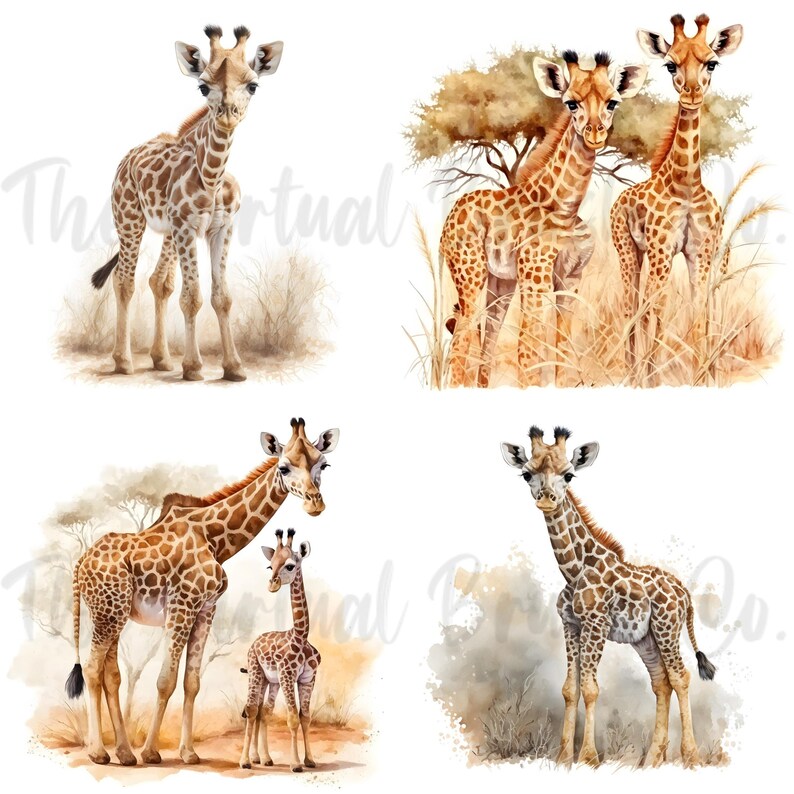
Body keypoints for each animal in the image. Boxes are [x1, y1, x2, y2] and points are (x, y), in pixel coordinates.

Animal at [90, 25, 284, 381]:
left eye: (252, 85)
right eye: (203, 86)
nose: (227, 114)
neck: (213, 176)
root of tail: (127, 159)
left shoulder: (221, 228)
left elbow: (222, 298)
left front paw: (234, 367)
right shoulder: (186, 227)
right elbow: (192, 296)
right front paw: (193, 367)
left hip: (167, 232)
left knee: (158, 281)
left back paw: (161, 359)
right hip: (130, 220)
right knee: (124, 280)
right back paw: (124, 362)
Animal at [239, 529, 321, 772]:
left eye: (291, 565)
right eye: (270, 565)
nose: (272, 585)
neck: (300, 636)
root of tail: (254, 642)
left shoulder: (308, 678)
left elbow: (305, 718)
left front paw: (310, 760)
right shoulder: (287, 675)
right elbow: (292, 718)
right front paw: (295, 764)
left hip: (270, 680)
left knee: (262, 711)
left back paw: (263, 758)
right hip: (256, 672)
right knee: (251, 709)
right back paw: (245, 761)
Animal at [440, 52, 647, 388]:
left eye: (612, 102)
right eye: (571, 102)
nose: (595, 133)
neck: (564, 206)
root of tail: (450, 219)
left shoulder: (570, 280)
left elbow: (560, 348)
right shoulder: (535, 275)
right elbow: (529, 348)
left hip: (500, 282)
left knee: (487, 337)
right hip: (470, 272)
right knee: (463, 338)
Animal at [501, 426, 716, 767]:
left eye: (569, 474)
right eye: (526, 474)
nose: (546, 500)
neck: (574, 570)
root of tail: (684, 592)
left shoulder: (596, 625)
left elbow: (590, 688)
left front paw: (588, 758)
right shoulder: (571, 626)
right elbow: (570, 689)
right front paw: (563, 756)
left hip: (667, 629)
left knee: (680, 676)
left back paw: (690, 756)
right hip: (646, 638)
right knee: (661, 681)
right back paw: (652, 759)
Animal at [610, 14, 743, 383]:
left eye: (711, 62)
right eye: (670, 64)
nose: (692, 94)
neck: (685, 185)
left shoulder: (701, 254)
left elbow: (699, 310)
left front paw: (703, 377)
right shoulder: (662, 250)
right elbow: (658, 307)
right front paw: (653, 380)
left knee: (640, 307)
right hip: (629, 251)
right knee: (632, 305)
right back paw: (632, 374)